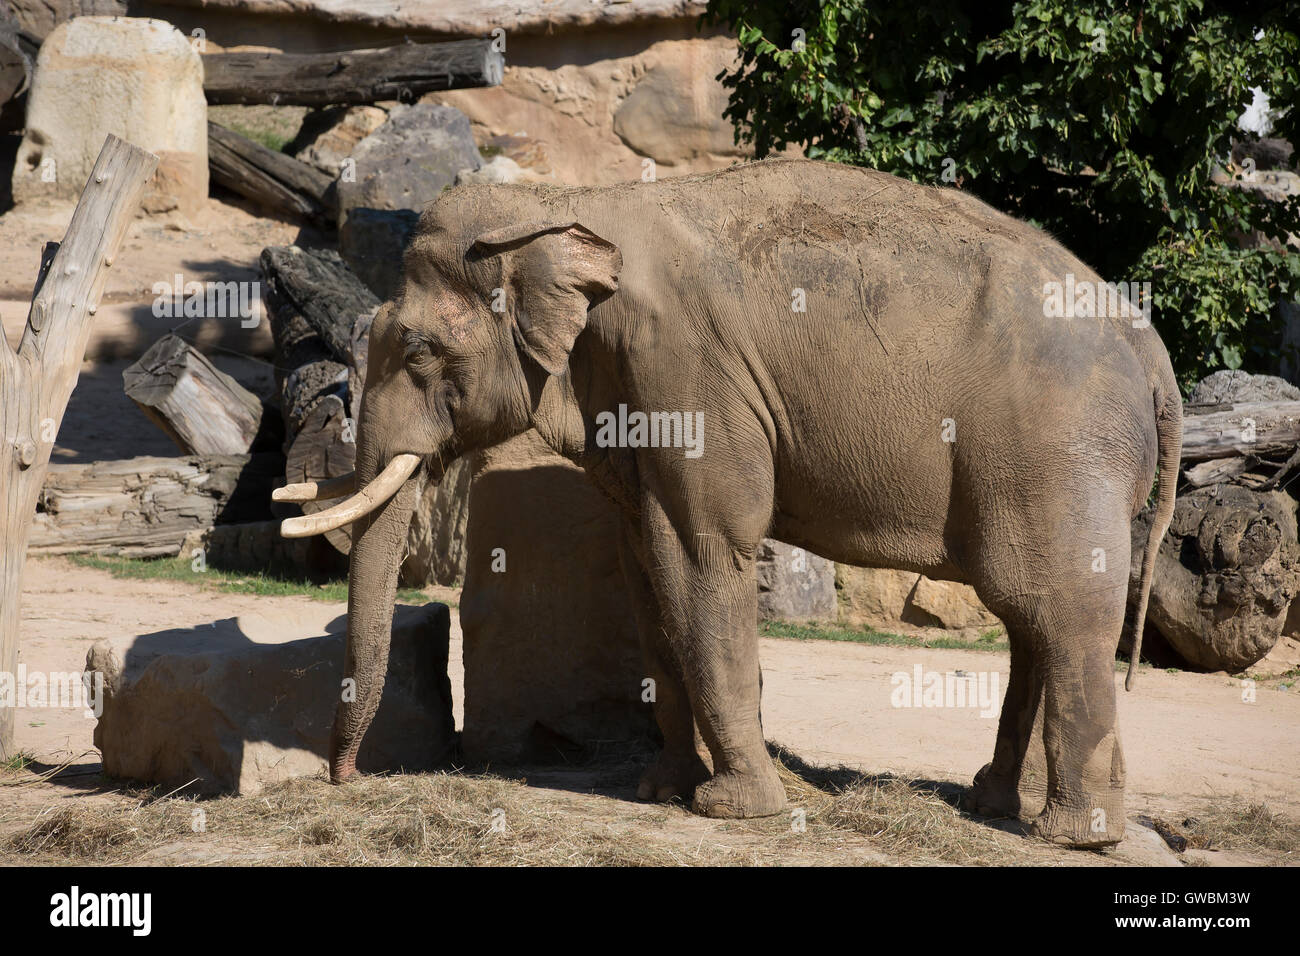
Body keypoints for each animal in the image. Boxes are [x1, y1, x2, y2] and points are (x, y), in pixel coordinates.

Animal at [277, 158, 1181, 848]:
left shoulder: (688, 372)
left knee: (1057, 606)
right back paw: (993, 802)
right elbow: (646, 569)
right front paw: (660, 789)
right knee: (1031, 617)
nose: (344, 778)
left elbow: (706, 549)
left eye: (420, 352)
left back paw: (1073, 834)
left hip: (1056, 447)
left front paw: (734, 808)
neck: (567, 204)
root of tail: (1151, 347)